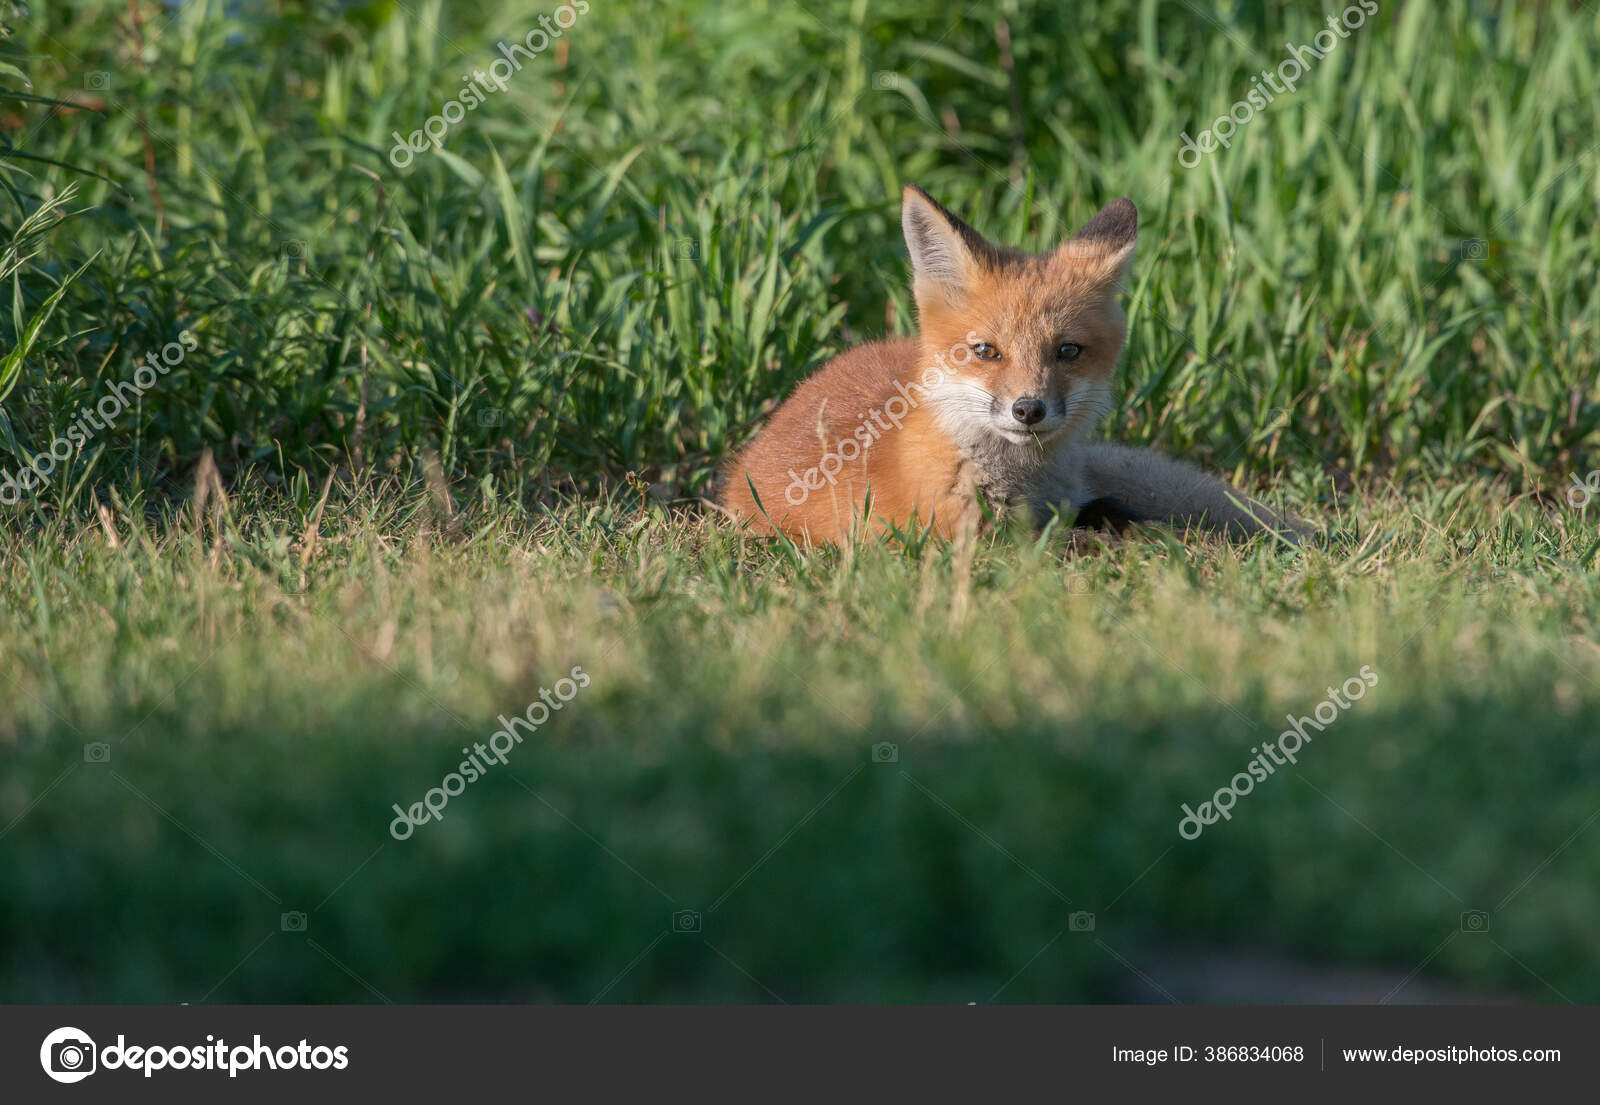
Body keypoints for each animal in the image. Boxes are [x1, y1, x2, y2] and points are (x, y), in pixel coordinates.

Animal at [717, 185, 1308, 545]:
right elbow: (1083, 540)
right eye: (986, 351)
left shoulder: (1071, 503)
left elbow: (1111, 516)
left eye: (1067, 351)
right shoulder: (958, 538)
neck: (1020, 482)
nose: (1029, 409)